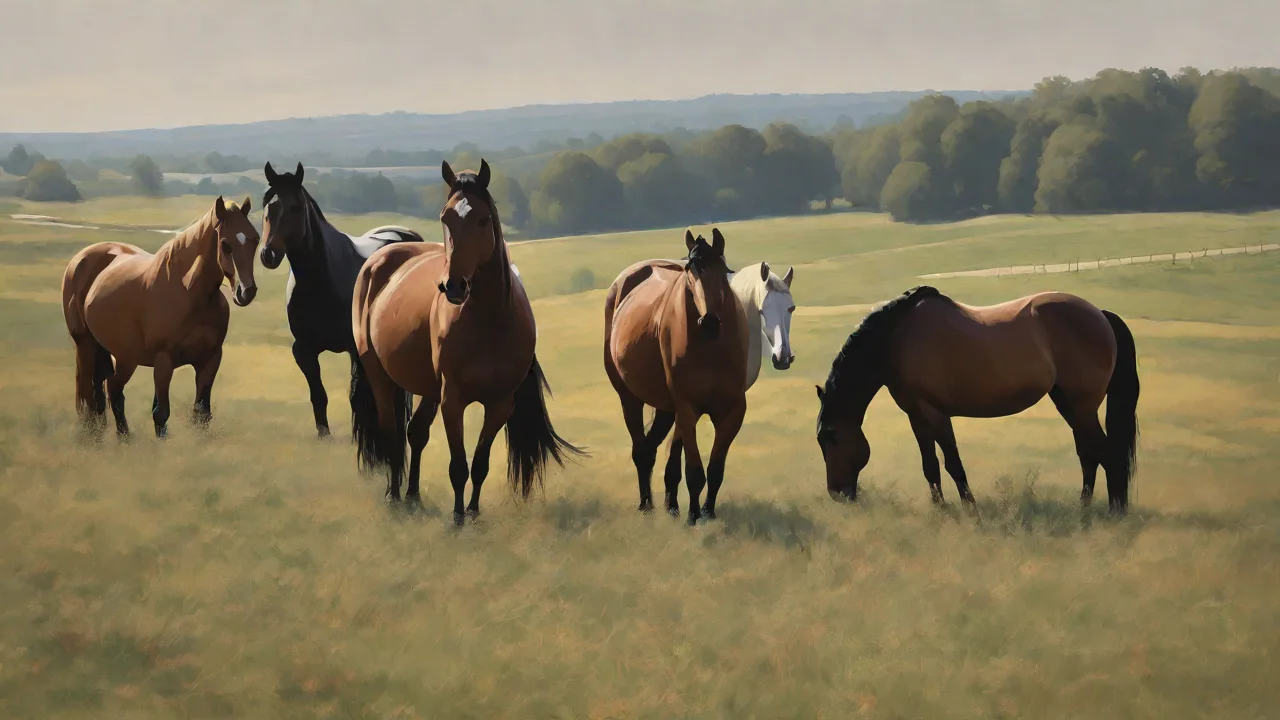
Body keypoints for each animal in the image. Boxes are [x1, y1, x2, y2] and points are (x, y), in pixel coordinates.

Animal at [61, 196, 261, 439]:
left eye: (255, 239)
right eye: (224, 244)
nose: (246, 291)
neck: (188, 292)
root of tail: (80, 259)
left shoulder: (211, 359)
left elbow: (201, 413)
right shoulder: (164, 360)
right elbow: (161, 412)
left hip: (122, 355)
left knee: (111, 390)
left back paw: (124, 439)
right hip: (86, 345)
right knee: (89, 397)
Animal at [257, 161, 425, 438]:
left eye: (295, 207)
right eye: (267, 207)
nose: (268, 254)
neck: (323, 279)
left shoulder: (356, 349)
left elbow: (358, 399)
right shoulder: (303, 350)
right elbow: (319, 396)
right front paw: (323, 435)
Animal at [350, 159, 583, 523]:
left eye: (483, 219)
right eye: (445, 217)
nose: (453, 286)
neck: (490, 321)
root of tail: (378, 260)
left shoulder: (499, 404)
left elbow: (480, 464)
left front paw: (472, 512)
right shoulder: (453, 400)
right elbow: (458, 465)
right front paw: (458, 518)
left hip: (428, 388)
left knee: (415, 433)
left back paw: (413, 496)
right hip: (380, 375)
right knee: (391, 433)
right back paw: (394, 495)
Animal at [603, 228, 750, 525]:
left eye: (723, 271)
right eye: (689, 271)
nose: (709, 322)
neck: (711, 349)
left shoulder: (733, 410)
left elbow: (715, 468)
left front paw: (707, 512)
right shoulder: (688, 408)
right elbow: (694, 470)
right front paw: (694, 517)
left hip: (667, 408)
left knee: (656, 450)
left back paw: (671, 506)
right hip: (630, 399)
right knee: (641, 450)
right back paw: (646, 506)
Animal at [815, 286, 1140, 513]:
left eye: (831, 436)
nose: (836, 493)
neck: (896, 339)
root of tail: (1100, 314)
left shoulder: (935, 412)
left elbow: (953, 462)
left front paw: (970, 508)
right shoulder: (915, 414)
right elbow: (930, 464)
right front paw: (940, 509)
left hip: (1081, 407)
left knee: (1107, 454)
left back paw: (1115, 511)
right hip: (1069, 405)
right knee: (1089, 455)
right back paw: (1084, 506)